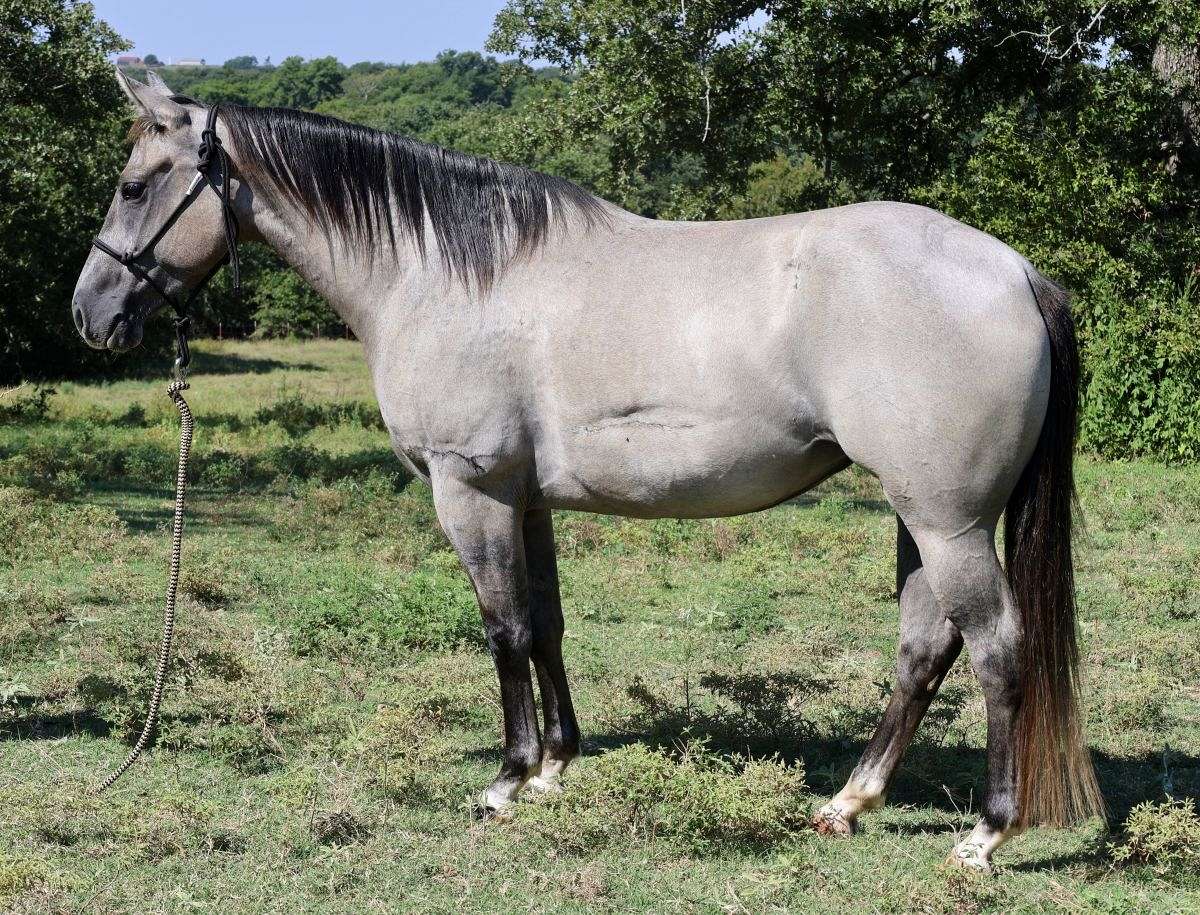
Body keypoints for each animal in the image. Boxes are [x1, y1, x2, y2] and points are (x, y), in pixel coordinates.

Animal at [72, 70, 1105, 872]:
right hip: (921, 517)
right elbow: (546, 622)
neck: (447, 275)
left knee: (996, 648)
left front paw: (506, 778)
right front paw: (558, 765)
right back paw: (848, 802)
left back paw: (985, 835)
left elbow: (502, 629)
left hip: (947, 519)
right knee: (925, 649)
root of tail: (1016, 272)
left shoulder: (471, 490)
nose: (90, 313)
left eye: (134, 184)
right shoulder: (525, 499)